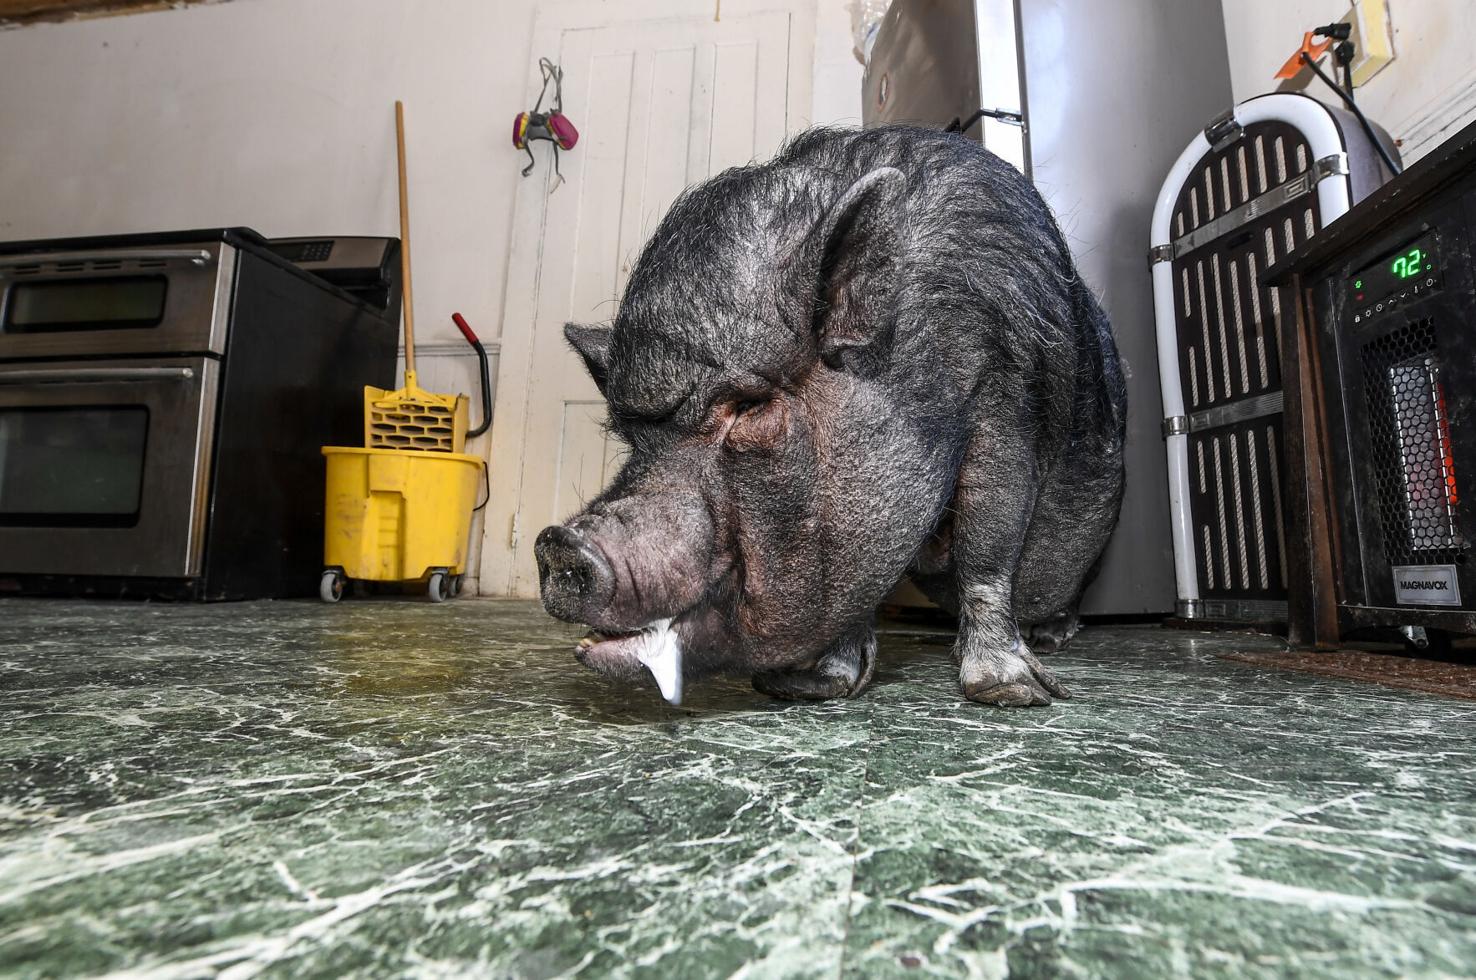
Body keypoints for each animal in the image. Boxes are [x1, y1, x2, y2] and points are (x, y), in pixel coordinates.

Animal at [534, 125, 1126, 708]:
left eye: (749, 406)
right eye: (631, 437)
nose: (558, 542)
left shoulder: (1002, 396)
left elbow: (988, 543)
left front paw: (1015, 693)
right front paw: (802, 687)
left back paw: (1053, 635)